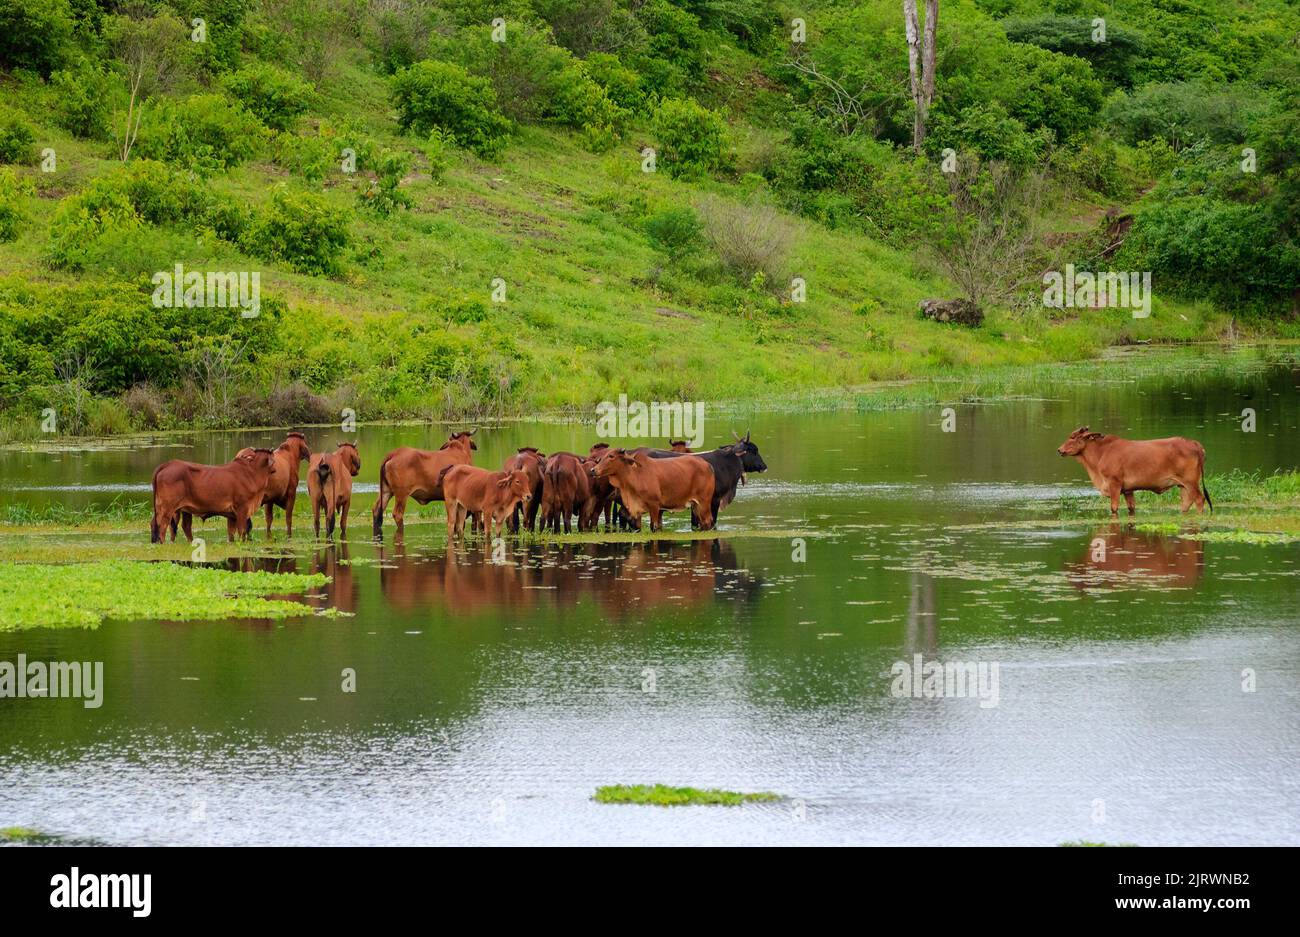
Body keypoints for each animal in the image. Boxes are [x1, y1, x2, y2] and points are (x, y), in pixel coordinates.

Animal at [1057, 426, 1213, 516]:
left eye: (1072, 437)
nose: (1059, 450)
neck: (1101, 453)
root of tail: (1194, 443)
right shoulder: (1128, 490)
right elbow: (1131, 508)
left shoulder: (1114, 484)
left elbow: (1114, 508)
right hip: (1183, 485)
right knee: (1186, 503)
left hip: (1191, 482)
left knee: (1200, 499)